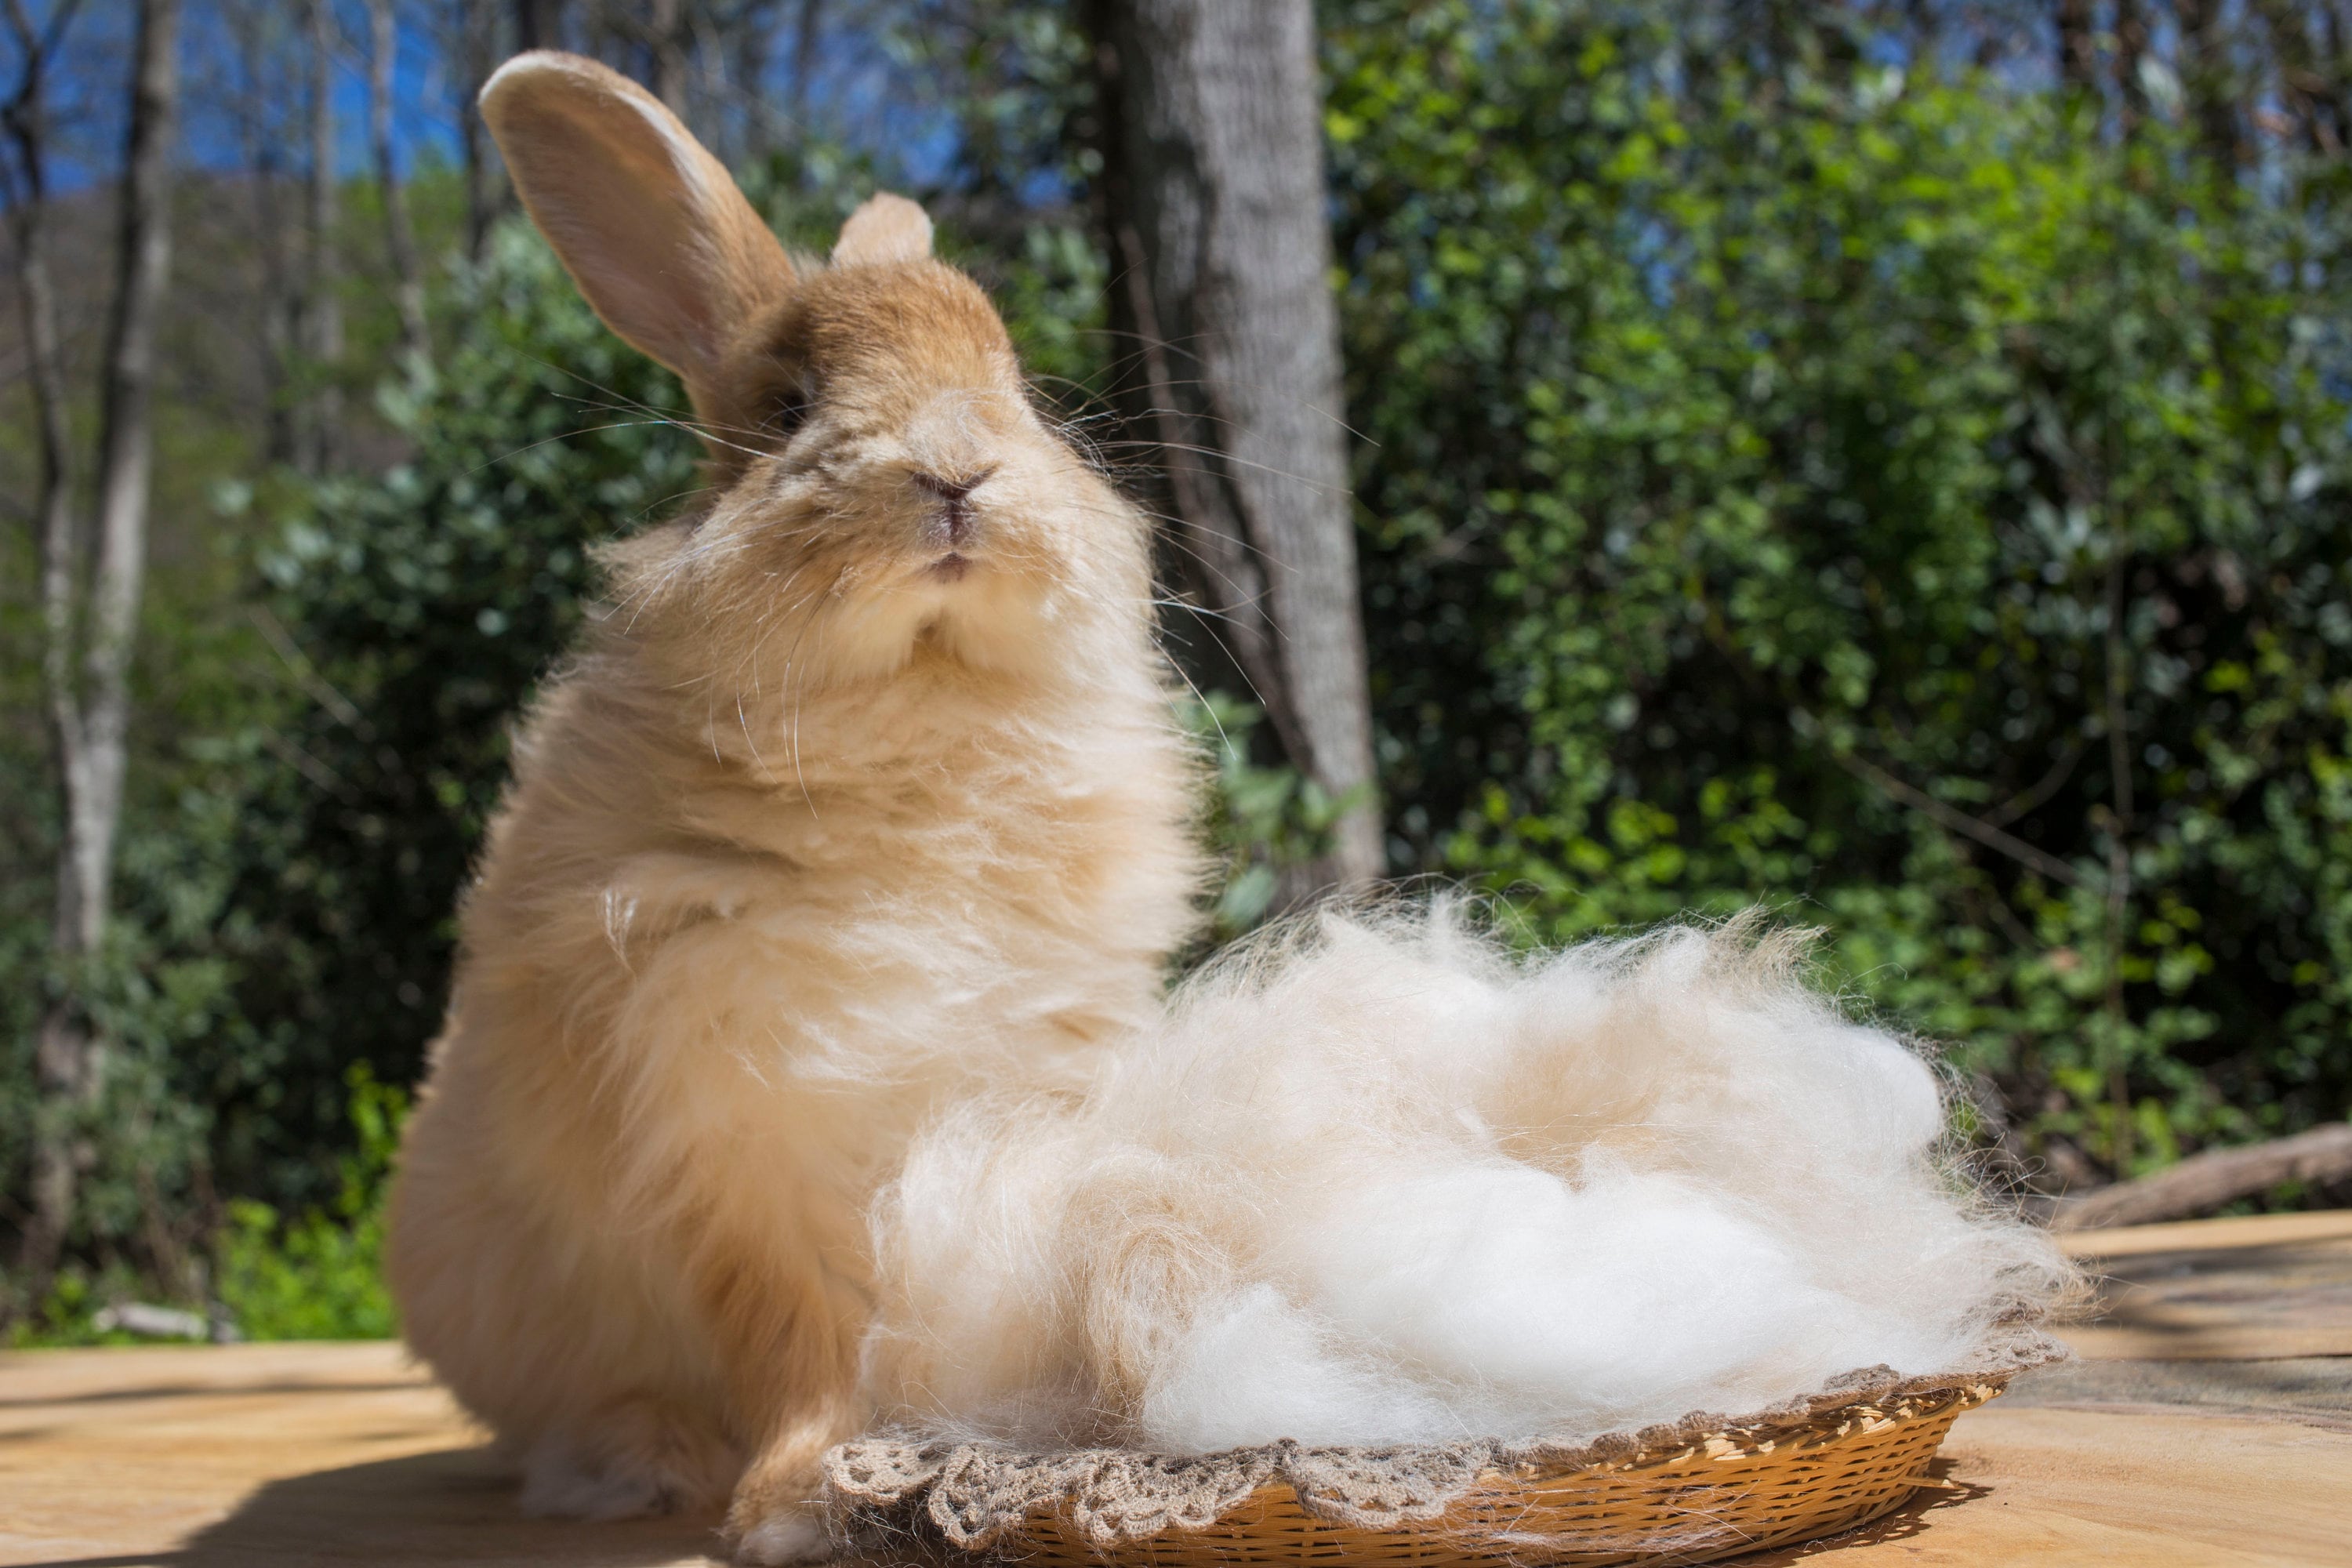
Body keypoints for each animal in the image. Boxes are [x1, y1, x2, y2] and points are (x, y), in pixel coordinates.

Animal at [383, 50, 1206, 1565]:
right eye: (786, 407)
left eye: (1017, 389)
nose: (955, 470)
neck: (917, 724)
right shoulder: (742, 1126)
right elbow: (804, 1334)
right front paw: (799, 1498)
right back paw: (642, 1462)